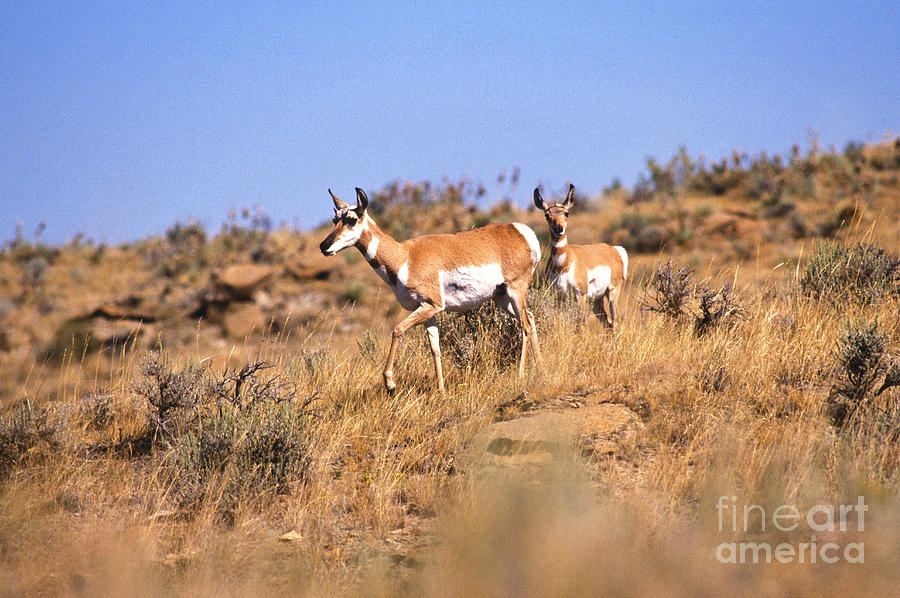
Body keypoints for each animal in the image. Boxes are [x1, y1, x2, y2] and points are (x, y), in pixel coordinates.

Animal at [319, 187, 542, 392]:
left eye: (351, 219)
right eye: (334, 219)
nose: (324, 245)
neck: (405, 257)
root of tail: (519, 231)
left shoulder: (431, 305)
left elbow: (397, 329)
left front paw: (390, 382)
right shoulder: (429, 312)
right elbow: (435, 349)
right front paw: (442, 391)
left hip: (515, 290)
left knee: (525, 325)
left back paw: (521, 375)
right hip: (501, 297)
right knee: (530, 318)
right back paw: (541, 368)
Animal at [534, 184, 627, 328]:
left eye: (567, 213)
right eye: (547, 215)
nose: (559, 229)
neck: (564, 263)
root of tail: (614, 249)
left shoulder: (580, 295)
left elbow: (580, 324)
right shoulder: (559, 296)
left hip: (612, 293)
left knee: (615, 321)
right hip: (597, 301)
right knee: (607, 323)